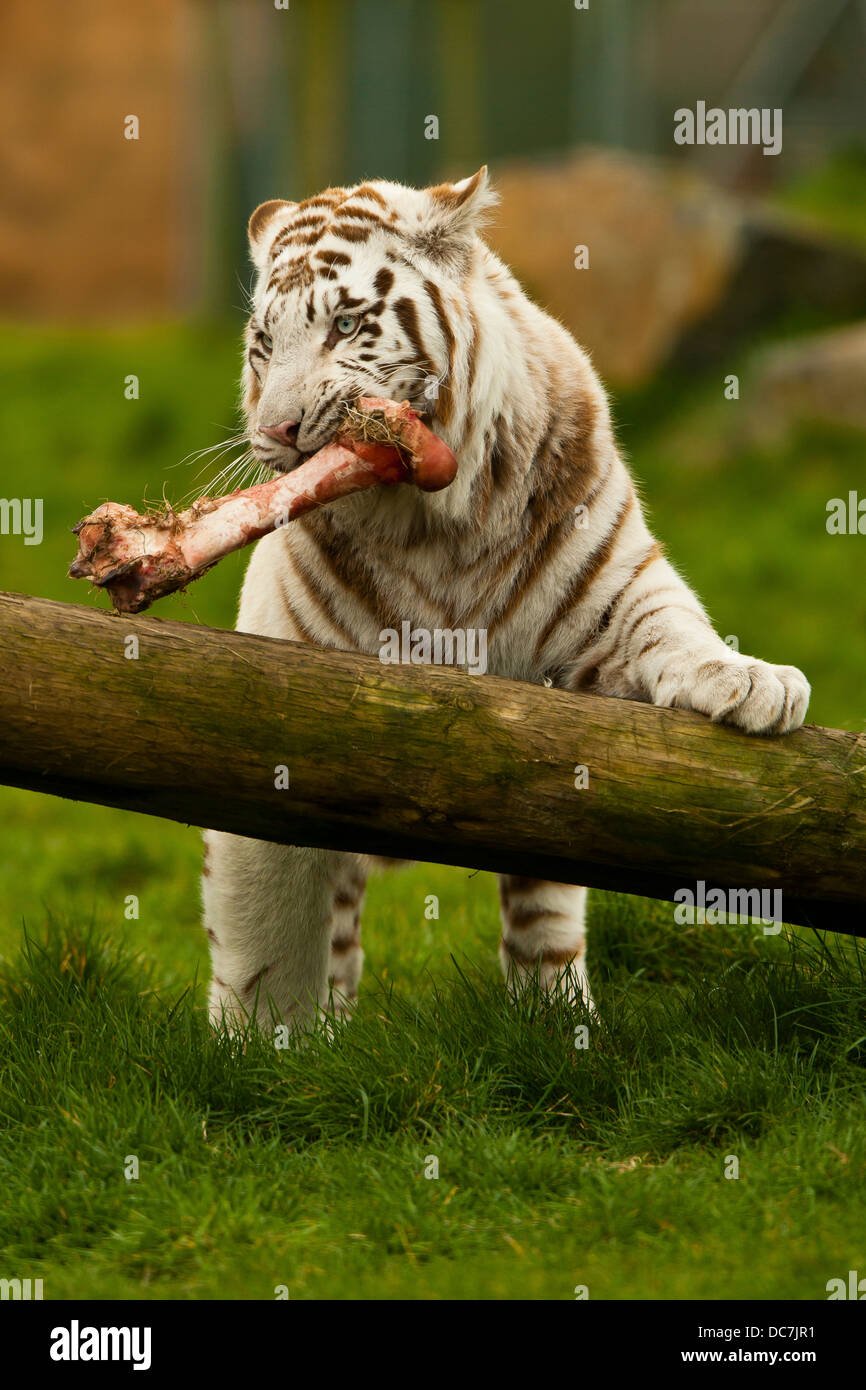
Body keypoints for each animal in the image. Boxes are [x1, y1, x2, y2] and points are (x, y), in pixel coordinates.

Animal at [201, 167, 810, 1030]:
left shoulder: (612, 600)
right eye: (262, 345)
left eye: (346, 325)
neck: (429, 523)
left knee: (541, 922)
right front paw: (261, 1051)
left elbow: (674, 628)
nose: (279, 431)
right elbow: (269, 943)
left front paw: (752, 681)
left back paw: (560, 1026)